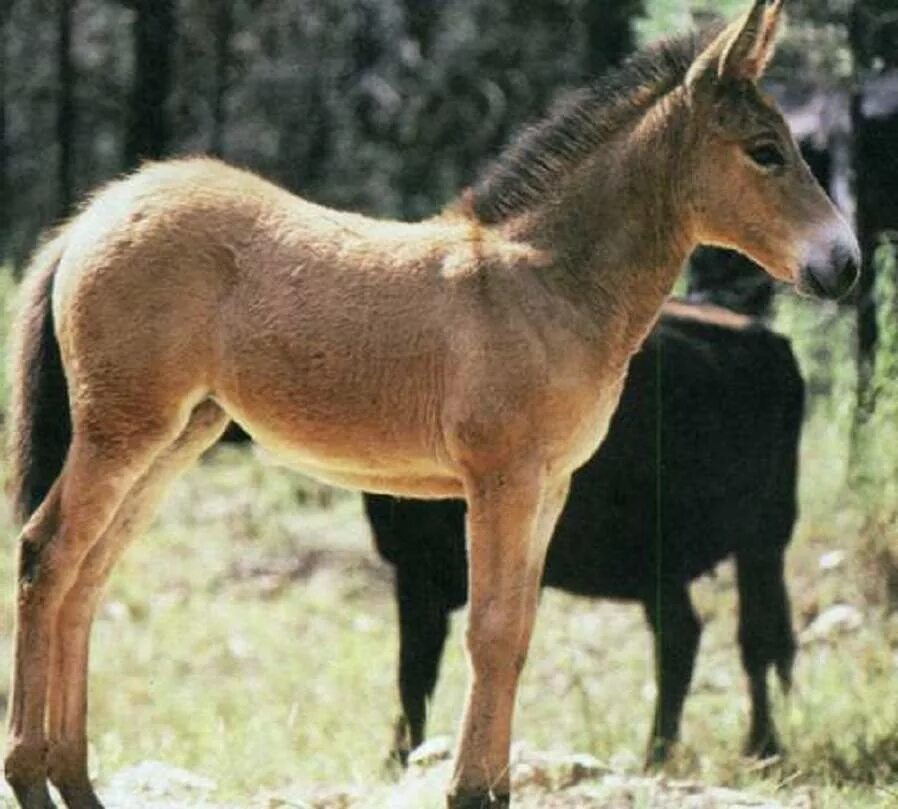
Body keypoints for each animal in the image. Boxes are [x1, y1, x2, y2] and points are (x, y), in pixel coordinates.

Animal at [8, 3, 860, 804]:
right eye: (765, 150)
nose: (844, 264)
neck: (544, 285)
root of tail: (96, 214)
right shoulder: (498, 482)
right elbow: (489, 632)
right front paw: (469, 789)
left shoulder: (550, 486)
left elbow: (517, 631)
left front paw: (492, 785)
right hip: (122, 430)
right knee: (46, 553)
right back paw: (30, 777)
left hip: (178, 433)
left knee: (88, 574)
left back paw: (77, 782)